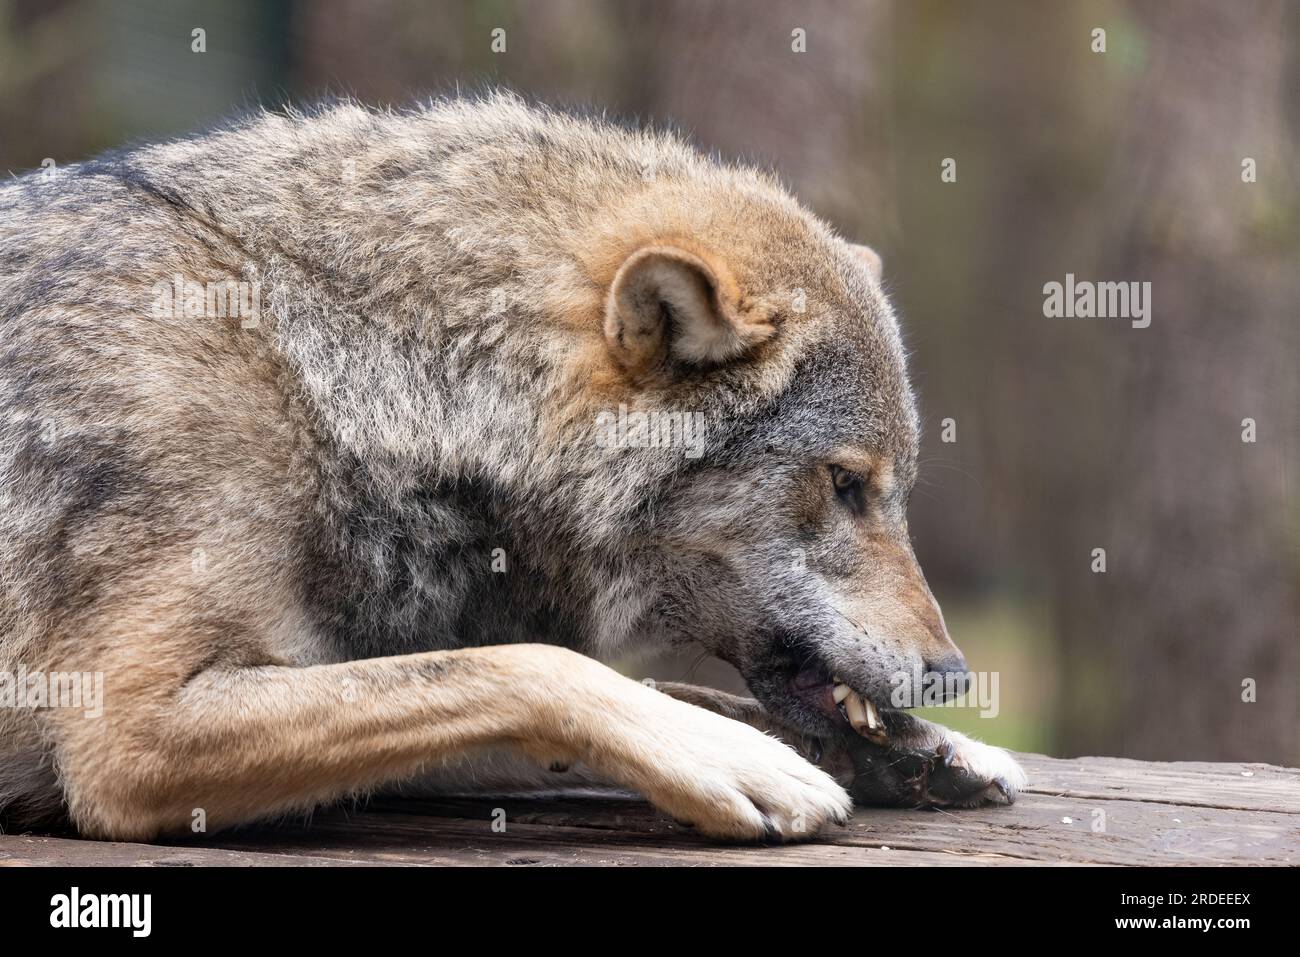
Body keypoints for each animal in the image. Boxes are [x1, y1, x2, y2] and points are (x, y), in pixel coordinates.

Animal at [0, 93, 1025, 841]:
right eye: (845, 484)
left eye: (896, 490)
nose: (951, 675)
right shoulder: (128, 737)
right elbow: (539, 666)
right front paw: (734, 760)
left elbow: (647, 684)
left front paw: (929, 753)